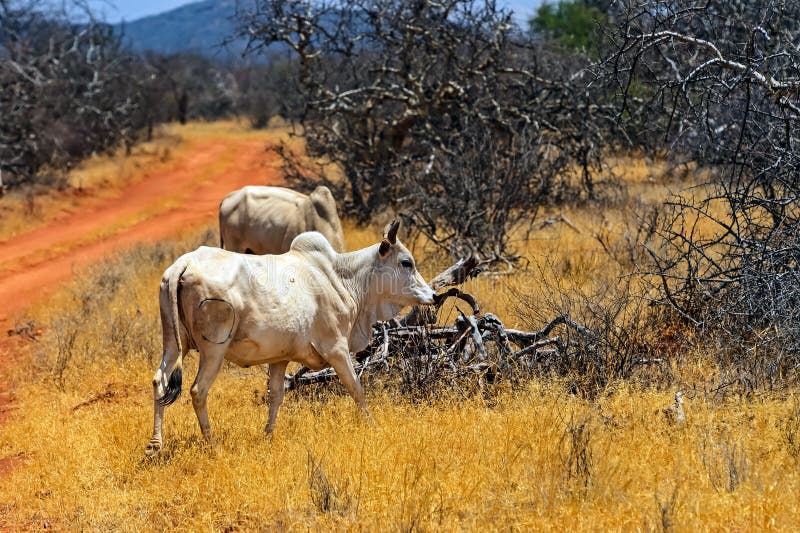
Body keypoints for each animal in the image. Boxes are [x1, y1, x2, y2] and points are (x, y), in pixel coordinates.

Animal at [145, 220, 434, 456]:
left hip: (174, 343)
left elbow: (276, 396)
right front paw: (373, 426)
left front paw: (268, 435)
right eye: (406, 262)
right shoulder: (337, 348)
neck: (341, 278)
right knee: (198, 391)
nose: (432, 295)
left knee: (160, 381)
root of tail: (185, 263)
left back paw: (154, 445)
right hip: (214, 350)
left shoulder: (279, 359)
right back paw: (212, 444)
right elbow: (356, 389)